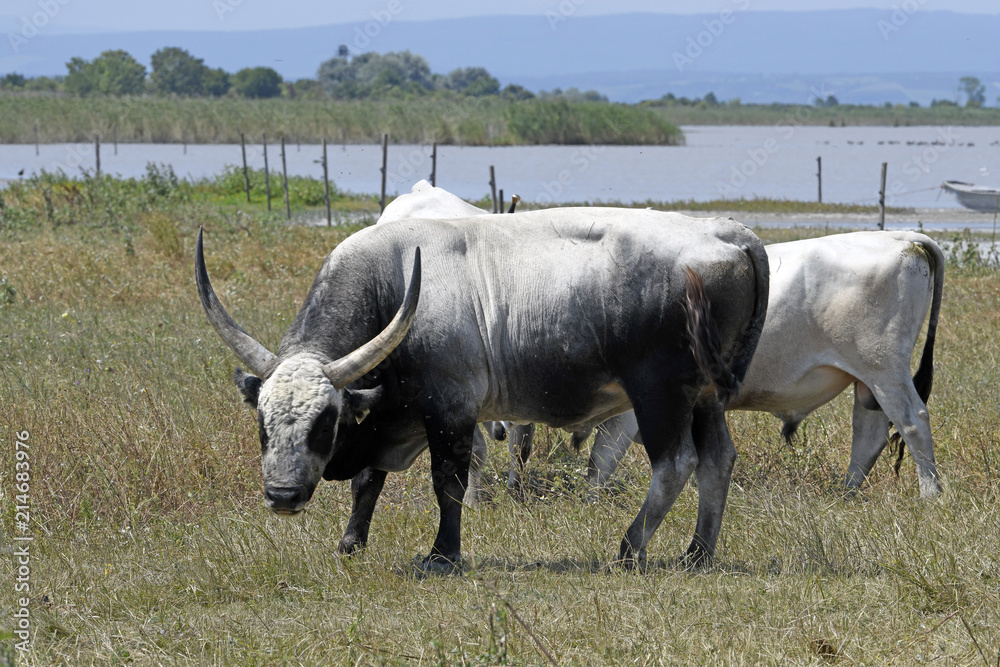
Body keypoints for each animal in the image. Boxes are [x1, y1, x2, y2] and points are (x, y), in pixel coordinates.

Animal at [195, 207, 769, 570]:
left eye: (323, 423)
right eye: (262, 424)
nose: (282, 495)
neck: (392, 288)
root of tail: (728, 232)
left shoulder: (450, 410)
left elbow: (447, 483)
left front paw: (443, 554)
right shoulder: (392, 413)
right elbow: (368, 480)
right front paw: (351, 543)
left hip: (661, 393)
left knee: (675, 463)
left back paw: (630, 548)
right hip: (706, 398)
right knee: (718, 458)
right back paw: (697, 553)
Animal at [508, 231, 945, 499]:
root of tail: (899, 236)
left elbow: (603, 457)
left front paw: (591, 501)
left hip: (882, 367)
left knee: (912, 421)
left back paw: (931, 493)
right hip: (867, 379)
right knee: (869, 432)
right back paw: (846, 493)